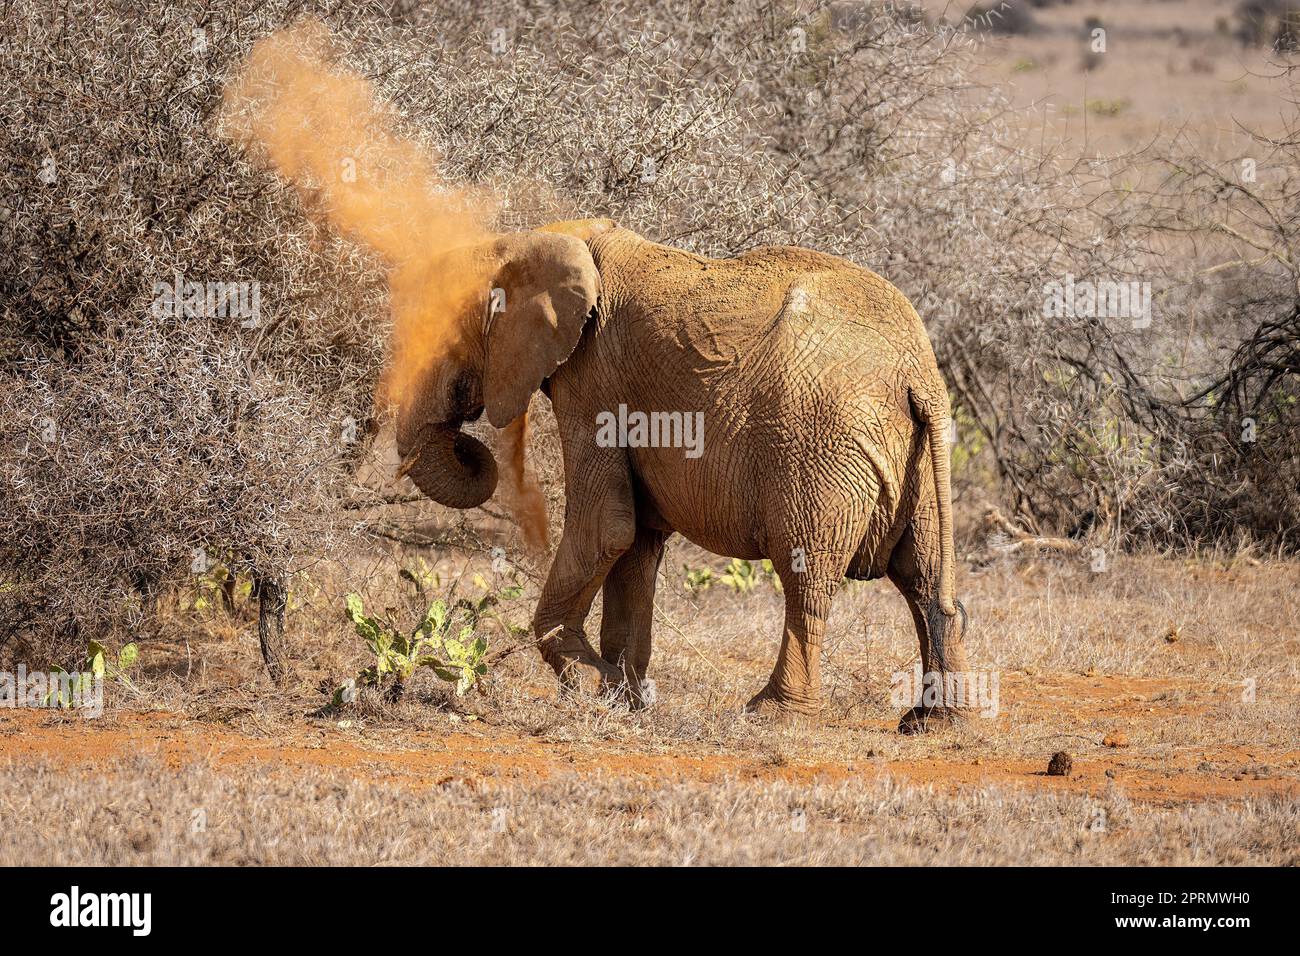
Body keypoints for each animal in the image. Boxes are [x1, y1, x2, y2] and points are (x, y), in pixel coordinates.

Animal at [395, 218, 970, 730]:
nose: (468, 439)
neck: (539, 239)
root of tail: (918, 372)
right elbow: (637, 542)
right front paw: (624, 698)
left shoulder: (593, 380)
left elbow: (606, 525)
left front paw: (593, 684)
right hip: (918, 462)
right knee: (923, 576)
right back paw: (934, 721)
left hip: (823, 450)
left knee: (807, 576)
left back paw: (772, 714)